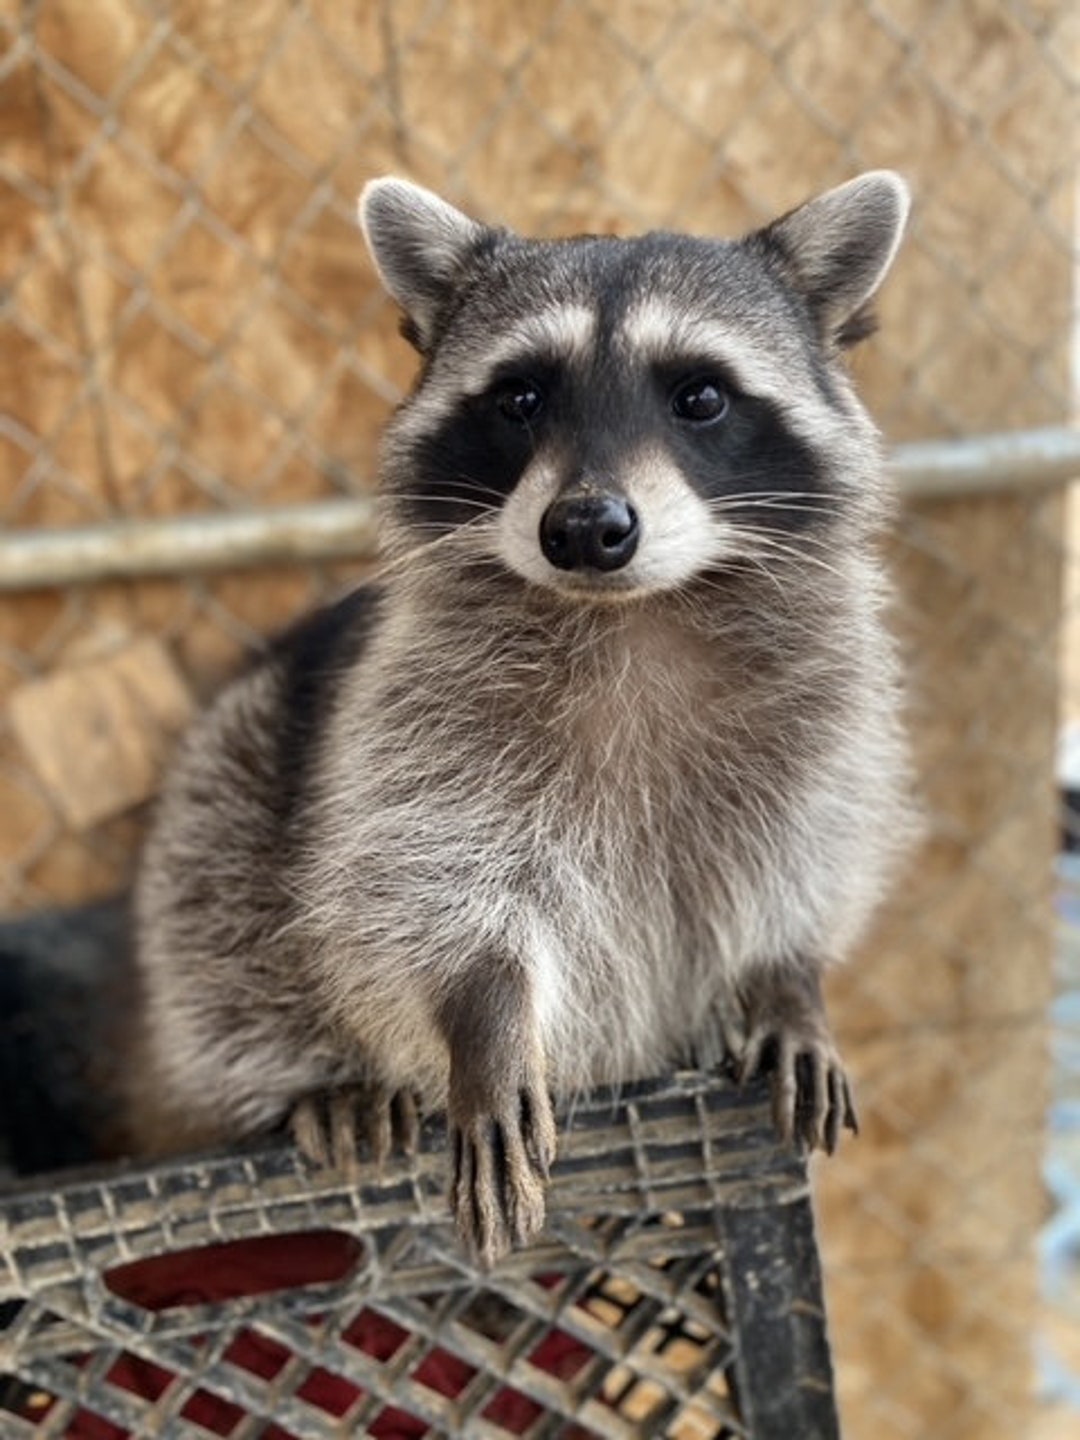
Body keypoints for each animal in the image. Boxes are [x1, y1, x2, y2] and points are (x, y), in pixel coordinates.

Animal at [131, 172, 914, 1265]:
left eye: (700, 396)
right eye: (521, 397)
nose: (585, 527)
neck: (631, 615)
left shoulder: (831, 709)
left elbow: (809, 850)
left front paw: (785, 974)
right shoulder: (415, 718)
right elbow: (431, 890)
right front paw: (486, 1020)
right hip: (239, 757)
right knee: (211, 913)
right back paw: (320, 1076)